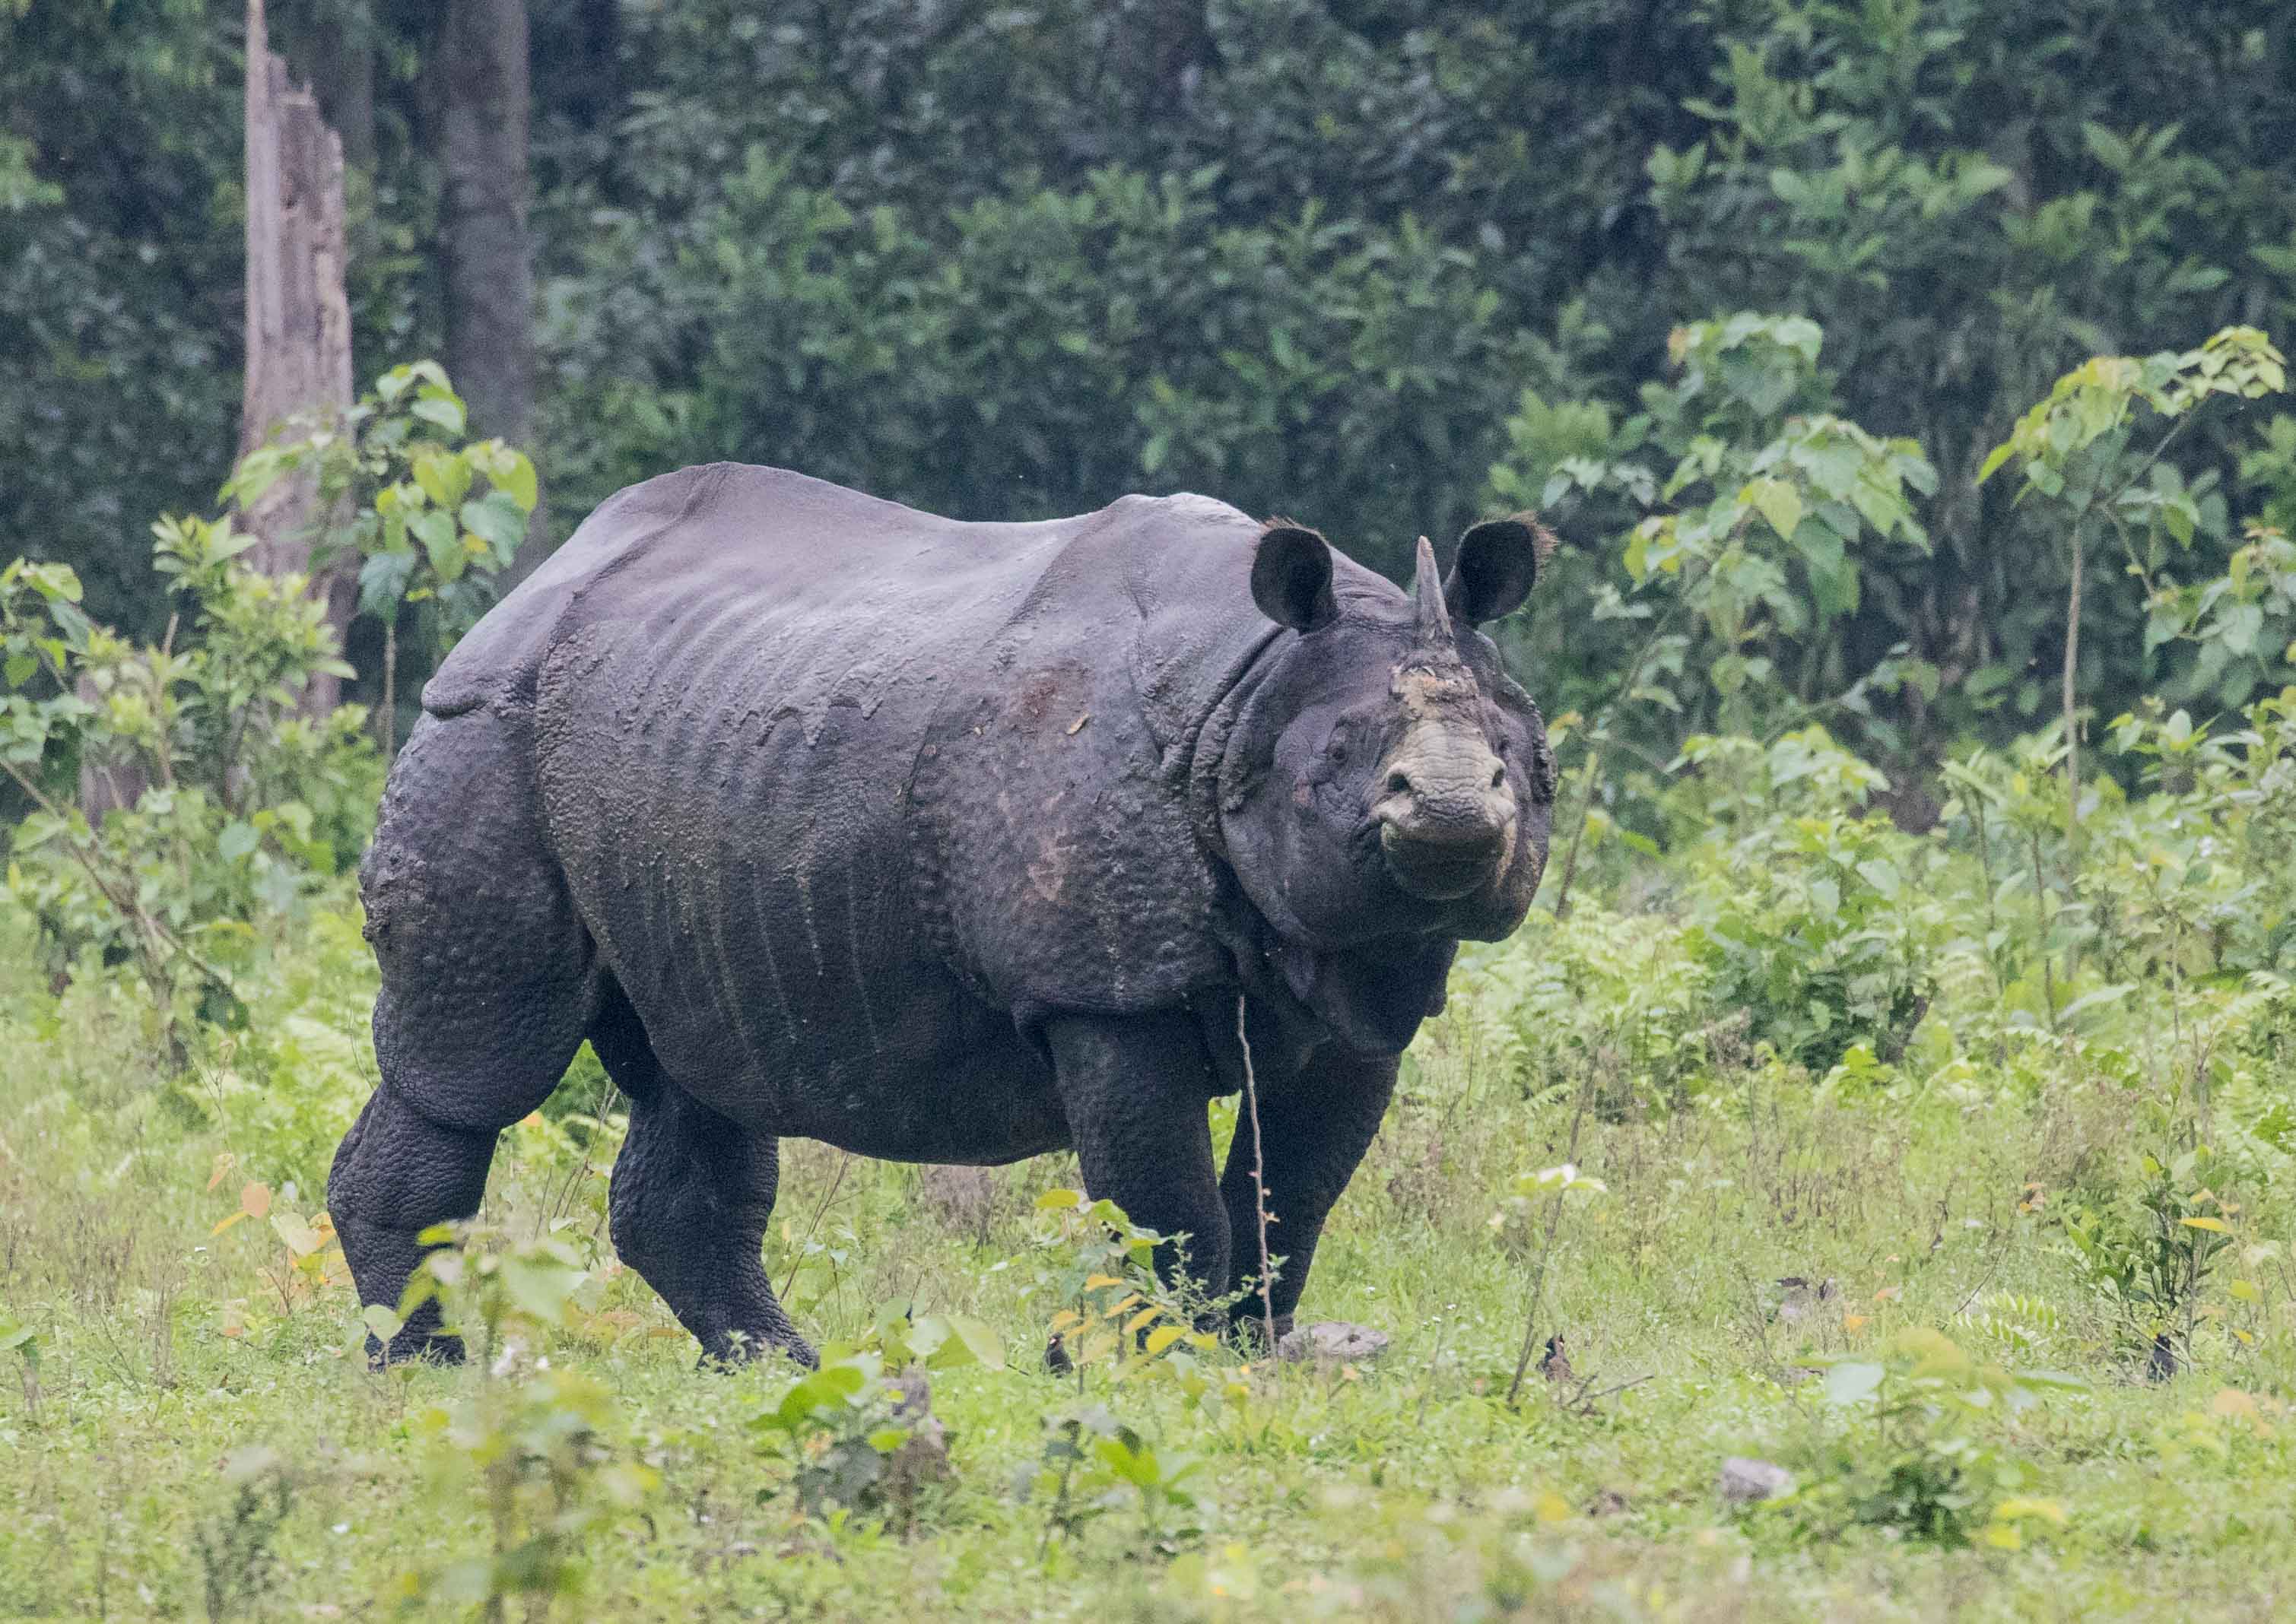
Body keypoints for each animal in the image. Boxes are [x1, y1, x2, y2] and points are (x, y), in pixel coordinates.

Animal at [329, 464, 1555, 1365]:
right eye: (1337, 761)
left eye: (1514, 755)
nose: (1452, 809)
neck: (1247, 694)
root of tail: (535, 585)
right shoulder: (1102, 994)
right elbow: (1165, 1205)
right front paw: (1168, 1369)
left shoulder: (1360, 973)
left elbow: (1289, 1197)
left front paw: (1248, 1356)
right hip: (484, 727)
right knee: (479, 1062)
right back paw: (425, 1369)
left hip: (681, 732)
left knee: (702, 1065)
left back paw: (776, 1370)